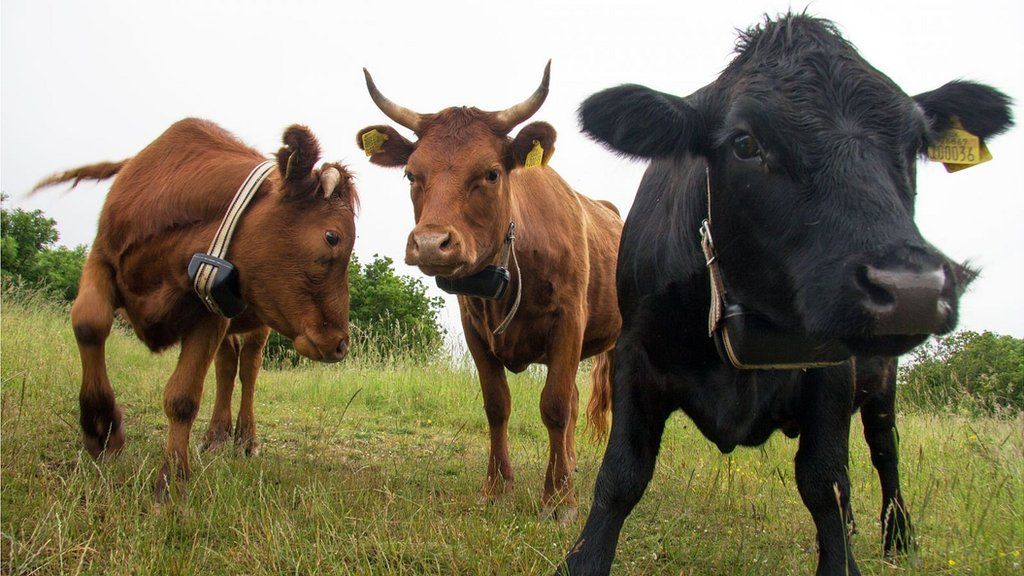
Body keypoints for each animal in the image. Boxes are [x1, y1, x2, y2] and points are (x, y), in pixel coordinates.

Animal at [32, 118, 359, 499]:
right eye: (332, 237)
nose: (340, 343)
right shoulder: (102, 258)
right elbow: (89, 323)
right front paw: (100, 426)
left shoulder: (210, 311)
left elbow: (183, 396)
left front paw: (172, 480)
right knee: (227, 364)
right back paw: (215, 437)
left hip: (258, 325)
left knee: (248, 368)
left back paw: (245, 440)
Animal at [356, 63, 622, 522]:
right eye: (411, 174)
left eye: (491, 173)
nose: (431, 243)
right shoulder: (474, 329)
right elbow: (498, 404)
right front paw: (498, 488)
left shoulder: (569, 323)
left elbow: (553, 406)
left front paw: (559, 500)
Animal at [561, 14, 1013, 576]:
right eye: (744, 143)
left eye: (916, 143)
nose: (912, 289)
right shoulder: (634, 353)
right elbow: (622, 474)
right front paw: (583, 557)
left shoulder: (834, 370)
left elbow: (825, 482)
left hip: (882, 382)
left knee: (884, 449)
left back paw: (898, 537)